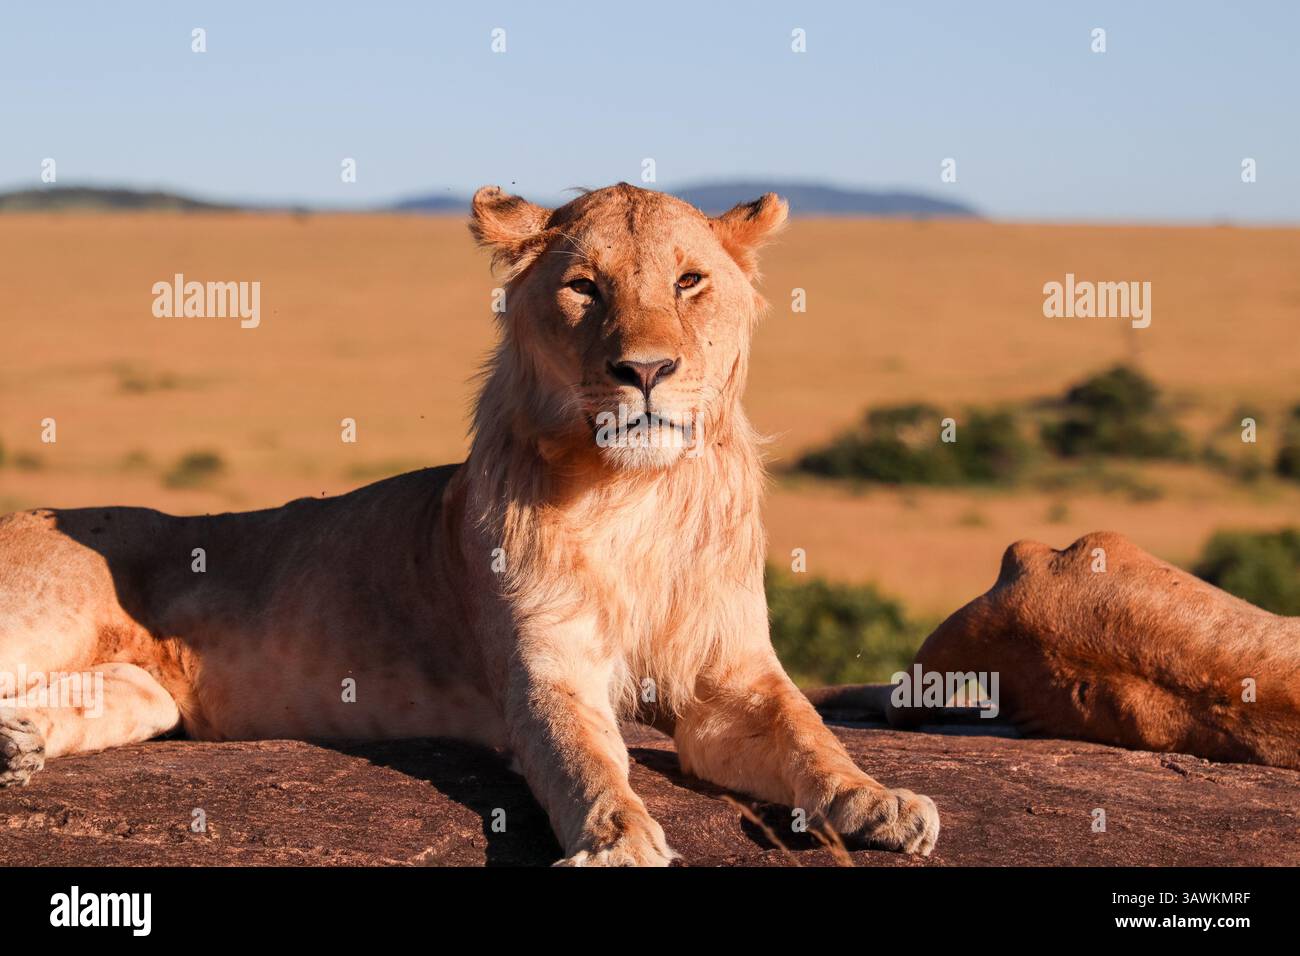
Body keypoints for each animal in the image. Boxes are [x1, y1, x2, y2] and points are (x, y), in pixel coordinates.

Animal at [0, 183, 939, 865]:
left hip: (145, 691)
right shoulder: (548, 674)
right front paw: (619, 842)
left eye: (688, 282)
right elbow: (586, 761)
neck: (633, 497)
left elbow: (810, 735)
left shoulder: (730, 679)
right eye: (584, 287)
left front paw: (879, 800)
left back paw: (19, 743)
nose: (645, 370)